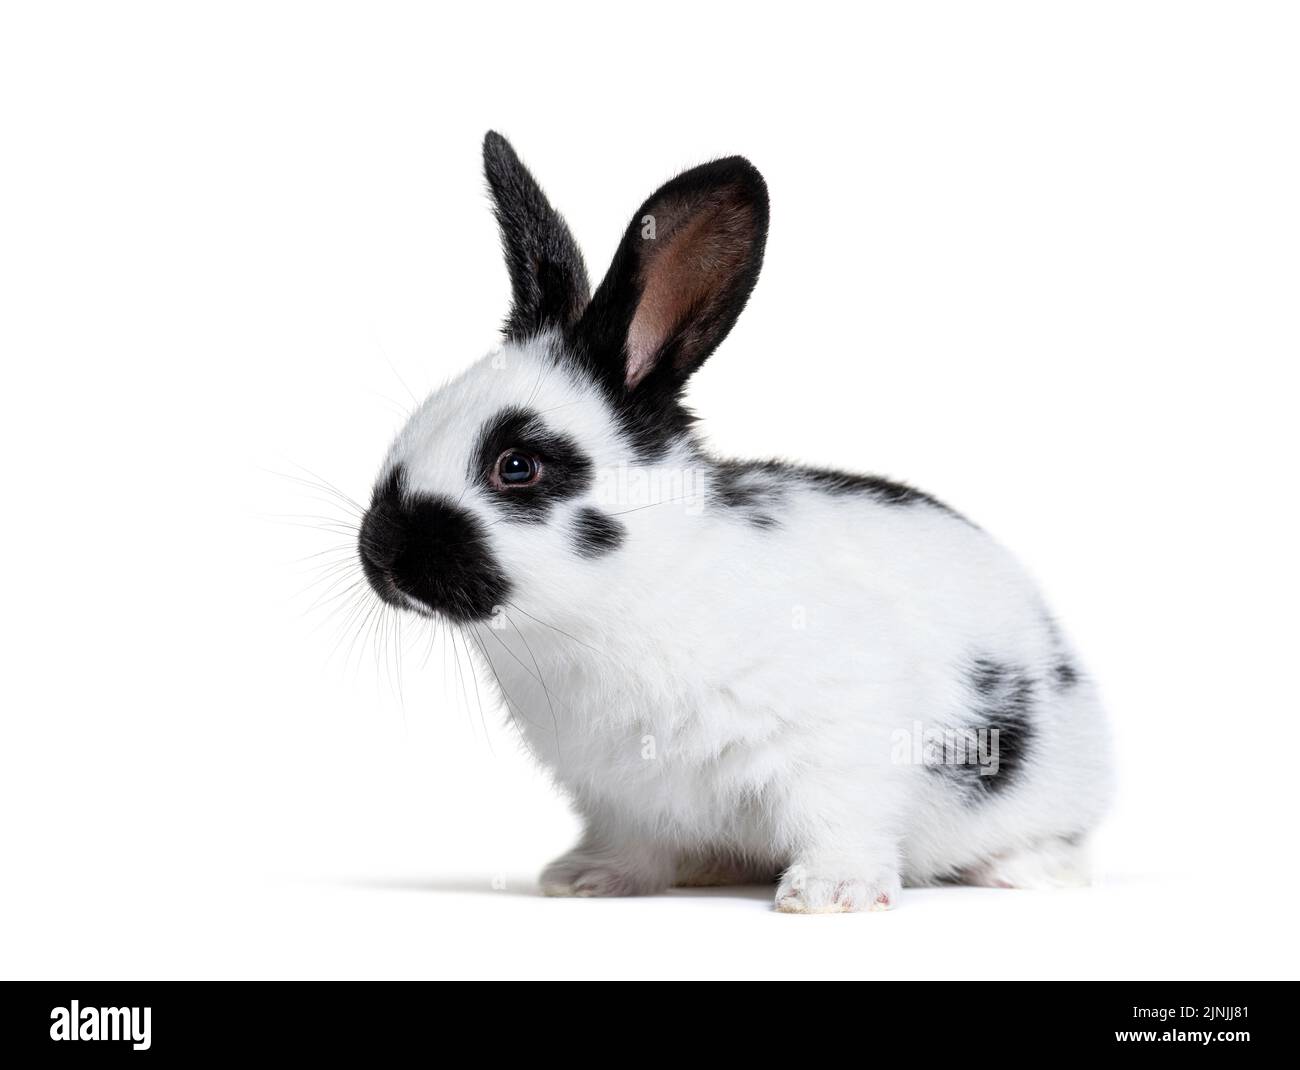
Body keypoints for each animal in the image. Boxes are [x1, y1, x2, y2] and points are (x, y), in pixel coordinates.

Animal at [355, 131, 1113, 913]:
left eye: (517, 466)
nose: (380, 554)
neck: (617, 600)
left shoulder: (841, 744)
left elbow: (842, 820)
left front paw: (829, 895)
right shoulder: (621, 796)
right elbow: (633, 844)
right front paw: (586, 881)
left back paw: (1026, 870)